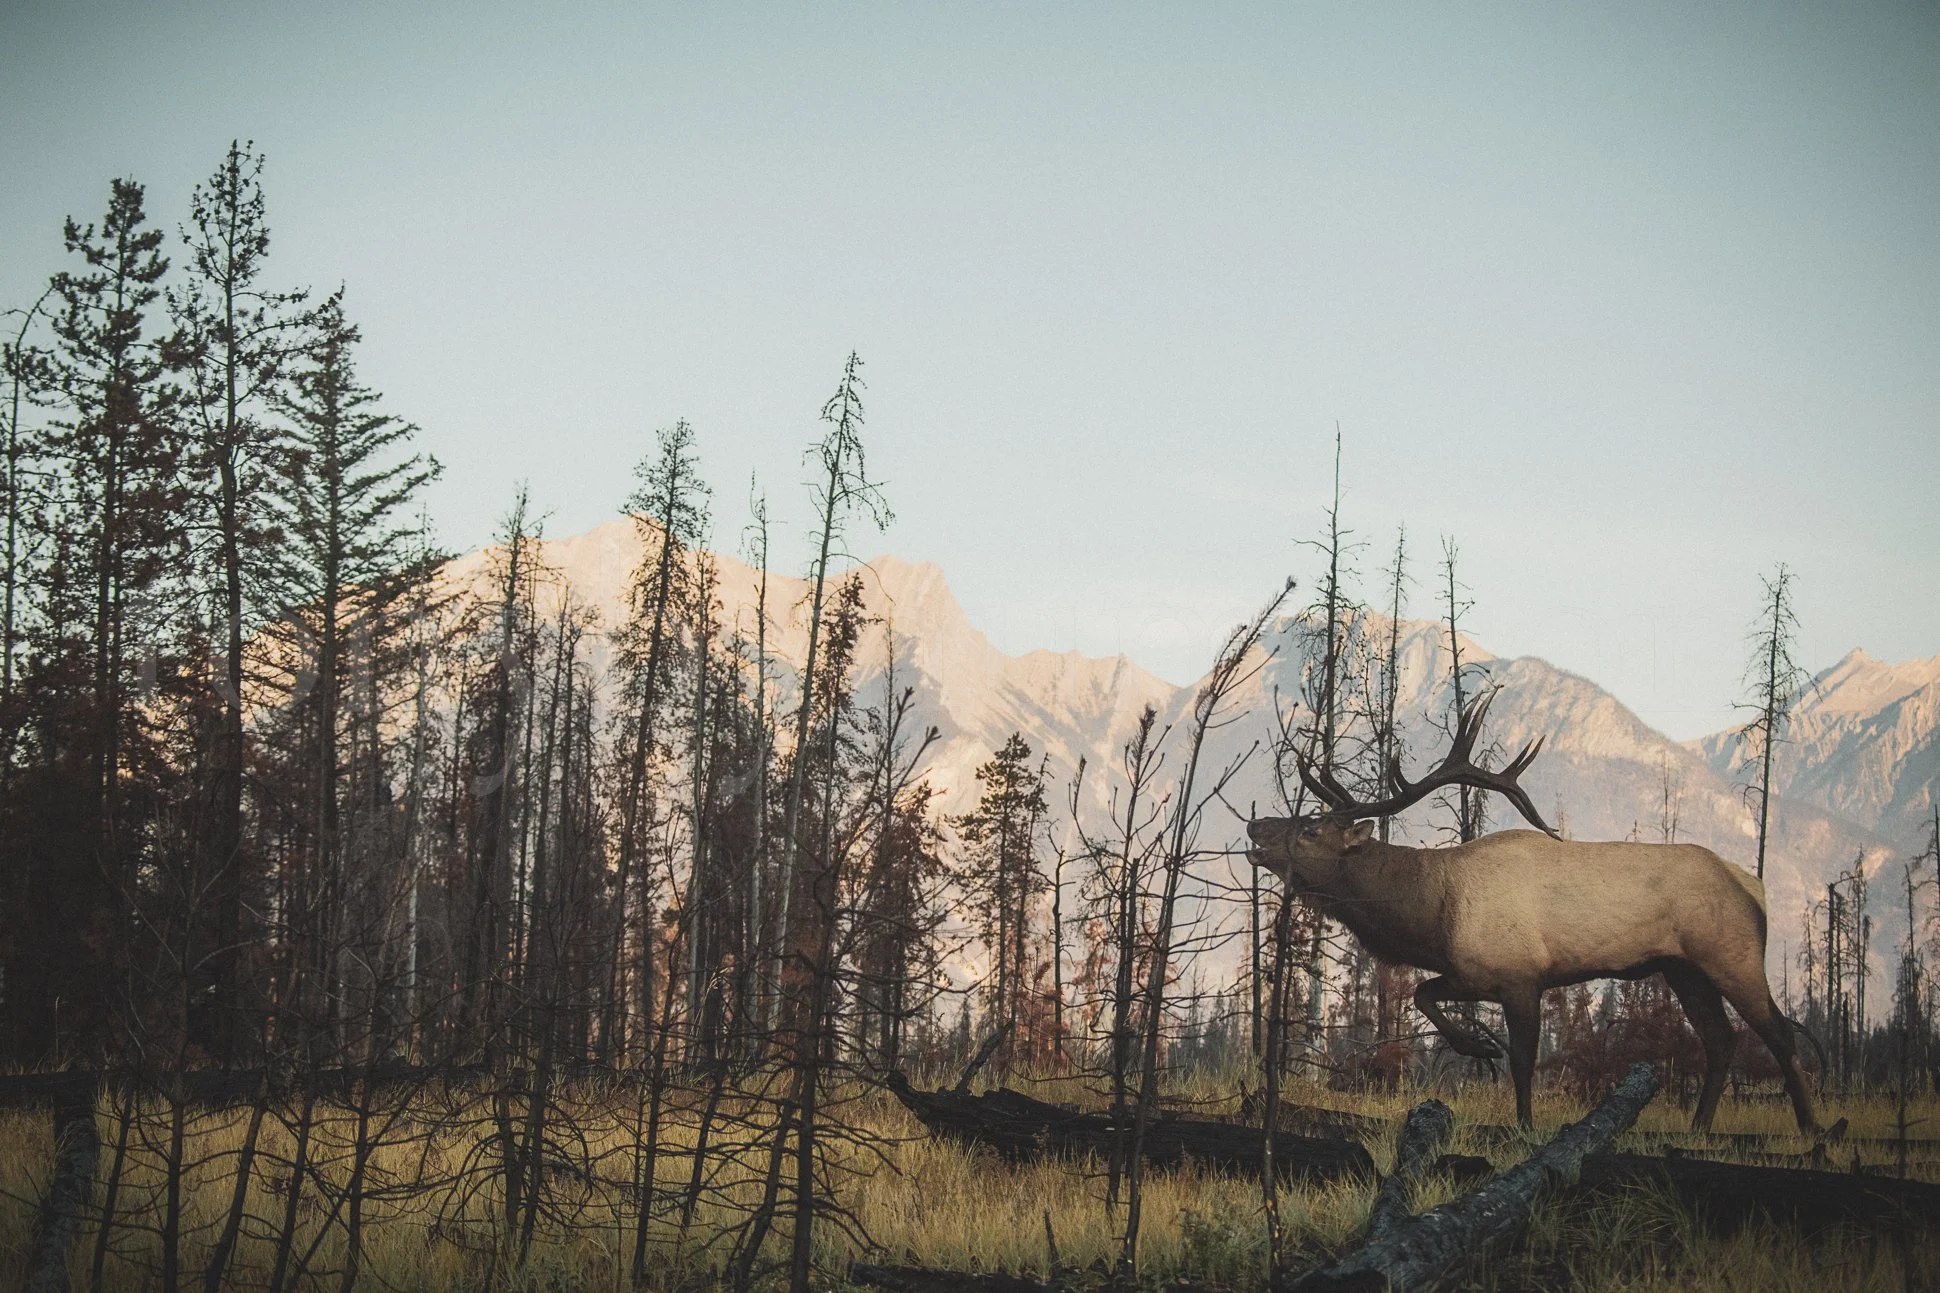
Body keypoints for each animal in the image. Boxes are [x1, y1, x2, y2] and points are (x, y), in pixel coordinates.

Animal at [1246, 695, 1822, 1133]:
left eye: (1312, 829)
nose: (1256, 826)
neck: (1432, 913)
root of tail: (1754, 888)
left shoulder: (1522, 976)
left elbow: (1524, 1060)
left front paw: (1524, 1125)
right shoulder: (1473, 972)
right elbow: (1422, 993)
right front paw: (1477, 1045)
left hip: (1731, 954)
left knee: (1778, 1031)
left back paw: (1810, 1126)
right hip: (1682, 970)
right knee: (1720, 1039)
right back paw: (1700, 1126)